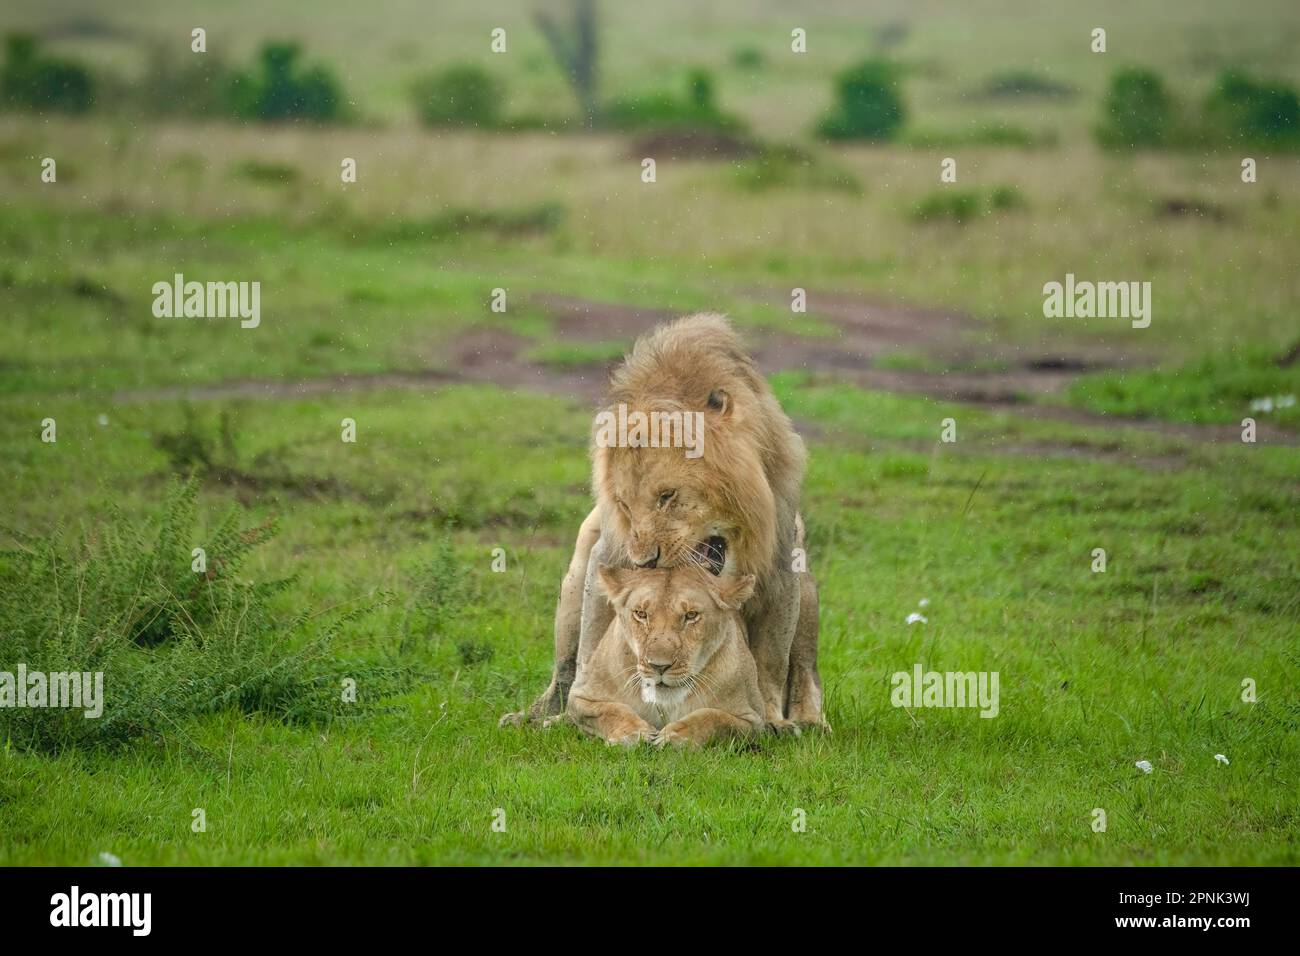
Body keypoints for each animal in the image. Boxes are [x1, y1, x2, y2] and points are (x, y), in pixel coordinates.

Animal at [566, 565, 764, 747]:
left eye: (691, 615)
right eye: (641, 614)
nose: (659, 666)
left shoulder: (754, 720)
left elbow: (714, 718)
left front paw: (676, 736)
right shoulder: (581, 698)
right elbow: (609, 710)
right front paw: (633, 733)